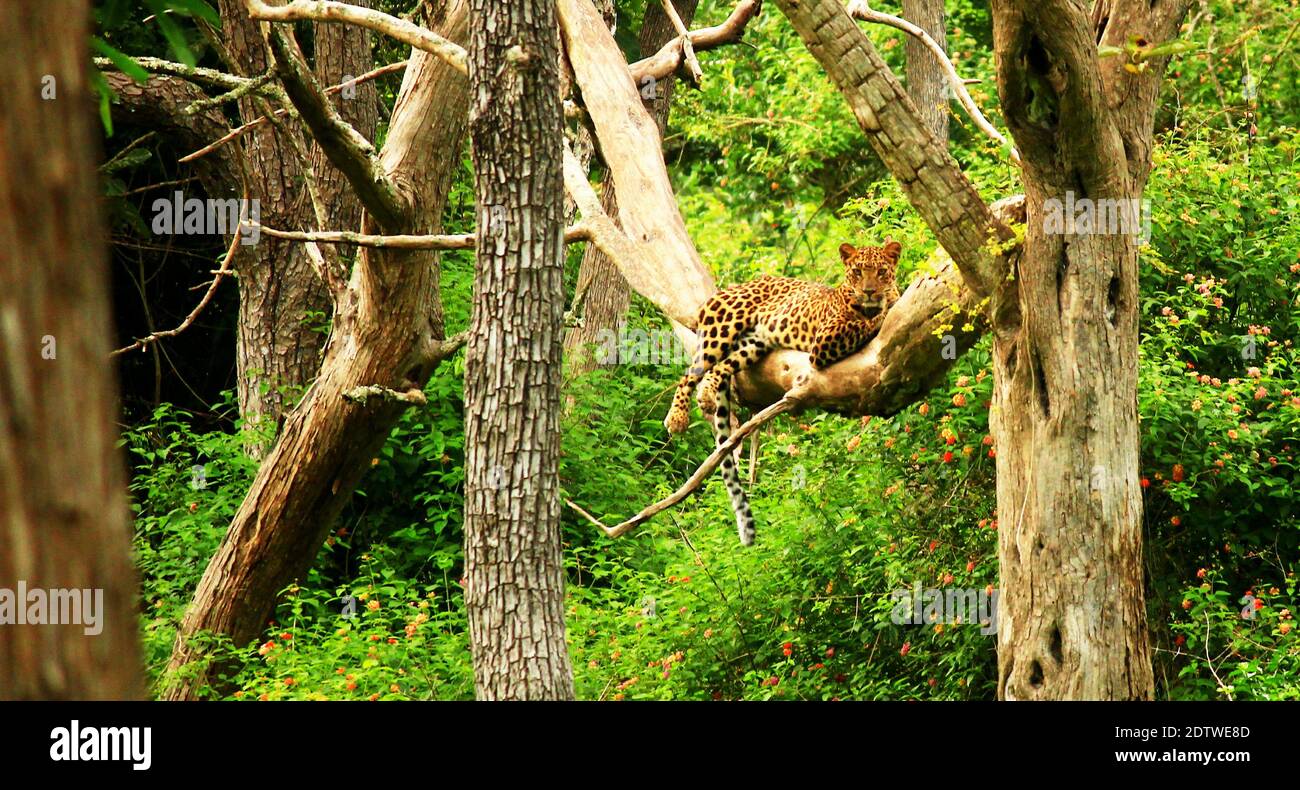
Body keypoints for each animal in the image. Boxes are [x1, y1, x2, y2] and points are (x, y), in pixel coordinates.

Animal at [662, 239, 903, 546]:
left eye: (882, 271)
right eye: (858, 272)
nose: (870, 290)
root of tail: (732, 287)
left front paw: (890, 295)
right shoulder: (826, 340)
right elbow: (869, 320)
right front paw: (884, 304)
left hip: (754, 344)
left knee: (722, 367)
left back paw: (706, 395)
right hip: (723, 328)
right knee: (691, 372)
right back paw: (677, 417)